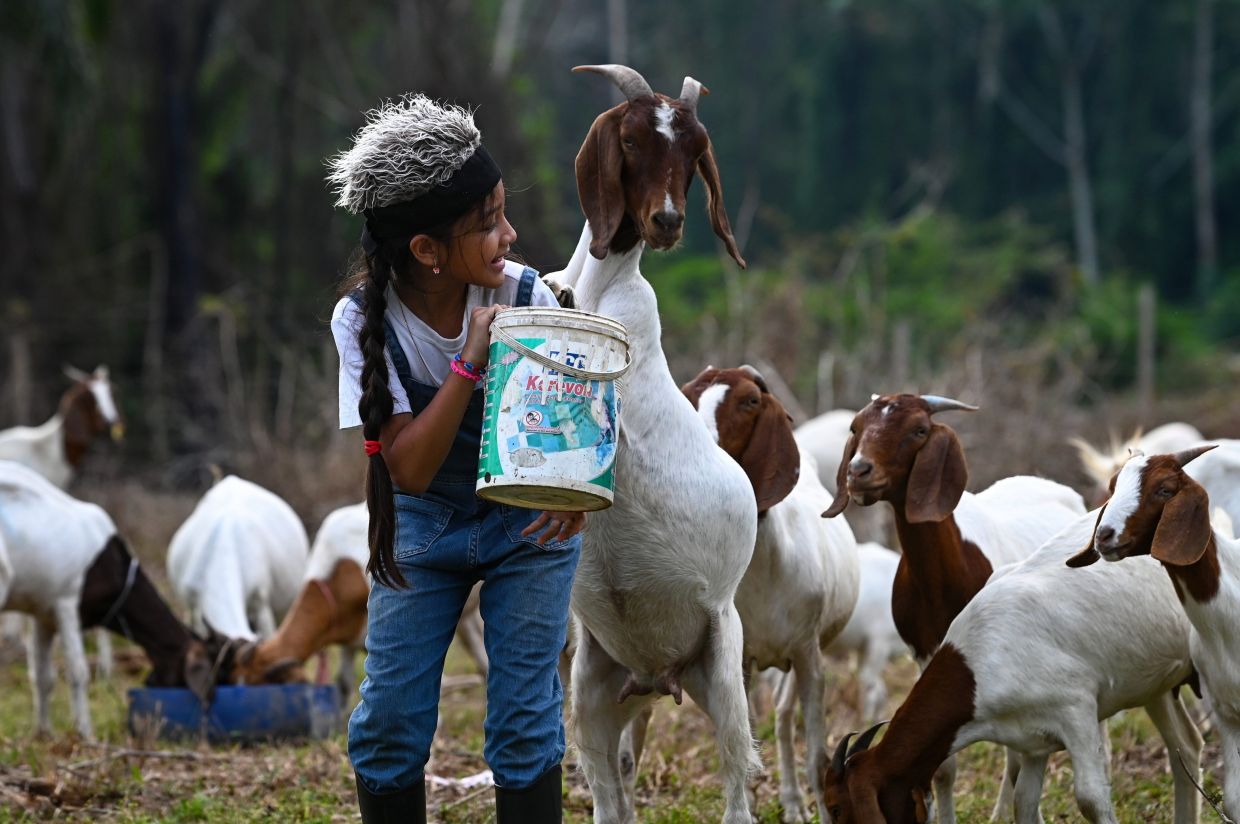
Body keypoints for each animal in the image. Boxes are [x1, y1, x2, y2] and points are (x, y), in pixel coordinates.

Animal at [0, 461, 232, 738]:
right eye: (217, 674)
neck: (115, 568)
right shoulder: (67, 601)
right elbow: (78, 672)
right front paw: (86, 734)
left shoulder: (42, 612)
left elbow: (43, 676)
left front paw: (44, 734)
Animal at [544, 64, 758, 824]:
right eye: (633, 138)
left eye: (693, 150)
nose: (666, 221)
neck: (597, 290)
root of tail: (657, 675)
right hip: (595, 685)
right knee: (608, 791)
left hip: (722, 661)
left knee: (737, 778)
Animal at [683, 365, 861, 823]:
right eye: (688, 394)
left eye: (750, 401)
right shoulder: (740, 661)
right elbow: (743, 743)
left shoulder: (809, 654)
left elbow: (816, 755)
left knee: (783, 718)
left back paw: (796, 803)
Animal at [823, 511, 1203, 824]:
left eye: (836, 807)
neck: (978, 666)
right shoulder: (1032, 740)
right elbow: (1024, 803)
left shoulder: (1076, 710)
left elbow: (1091, 799)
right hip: (1155, 683)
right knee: (1185, 744)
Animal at [824, 393, 1086, 823]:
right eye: (855, 427)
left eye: (918, 430)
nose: (858, 471)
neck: (944, 576)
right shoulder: (926, 653)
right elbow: (944, 769)